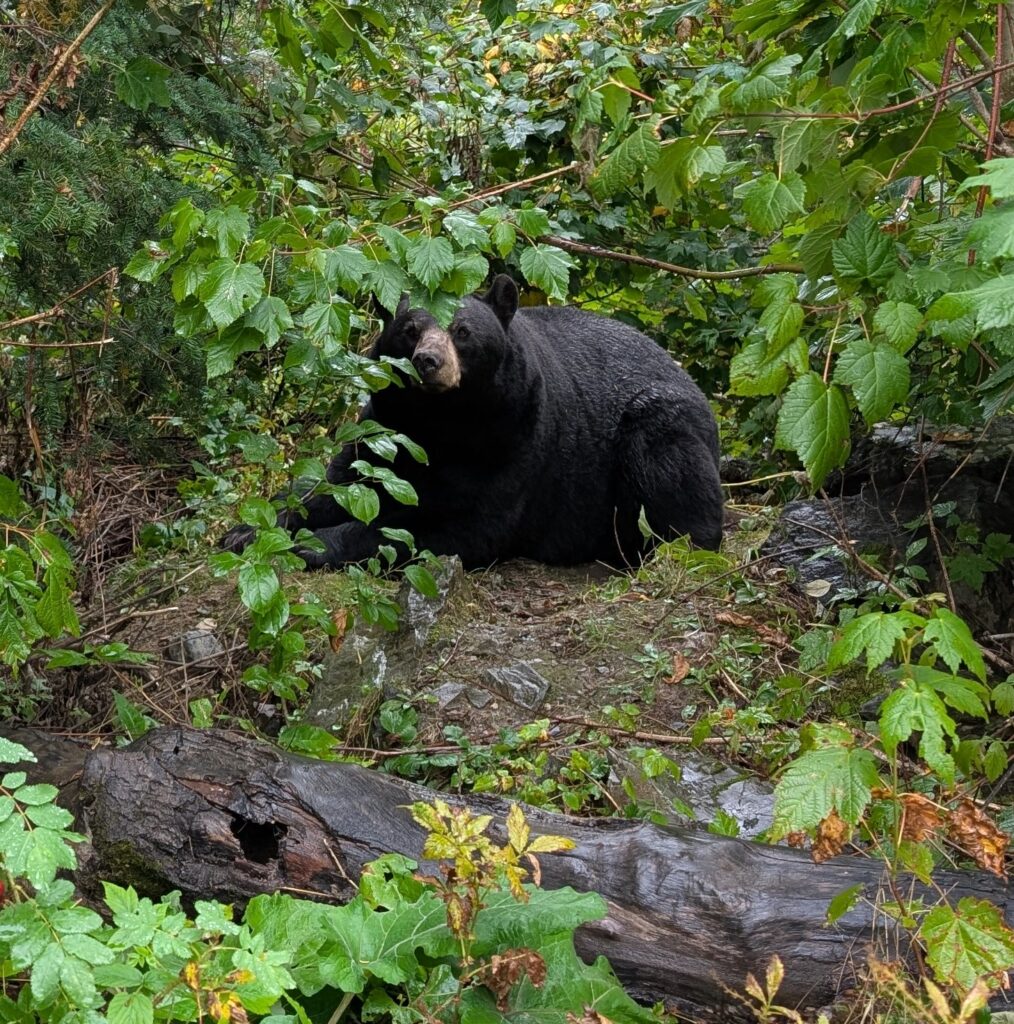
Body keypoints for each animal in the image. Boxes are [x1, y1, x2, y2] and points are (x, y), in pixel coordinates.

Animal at [221, 274, 723, 569]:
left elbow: (457, 527)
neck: (444, 423)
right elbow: (340, 484)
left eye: (462, 332)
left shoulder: (514, 444)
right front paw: (246, 529)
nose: (428, 361)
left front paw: (312, 545)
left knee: (674, 483)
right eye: (410, 330)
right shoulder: (386, 428)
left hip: (658, 423)